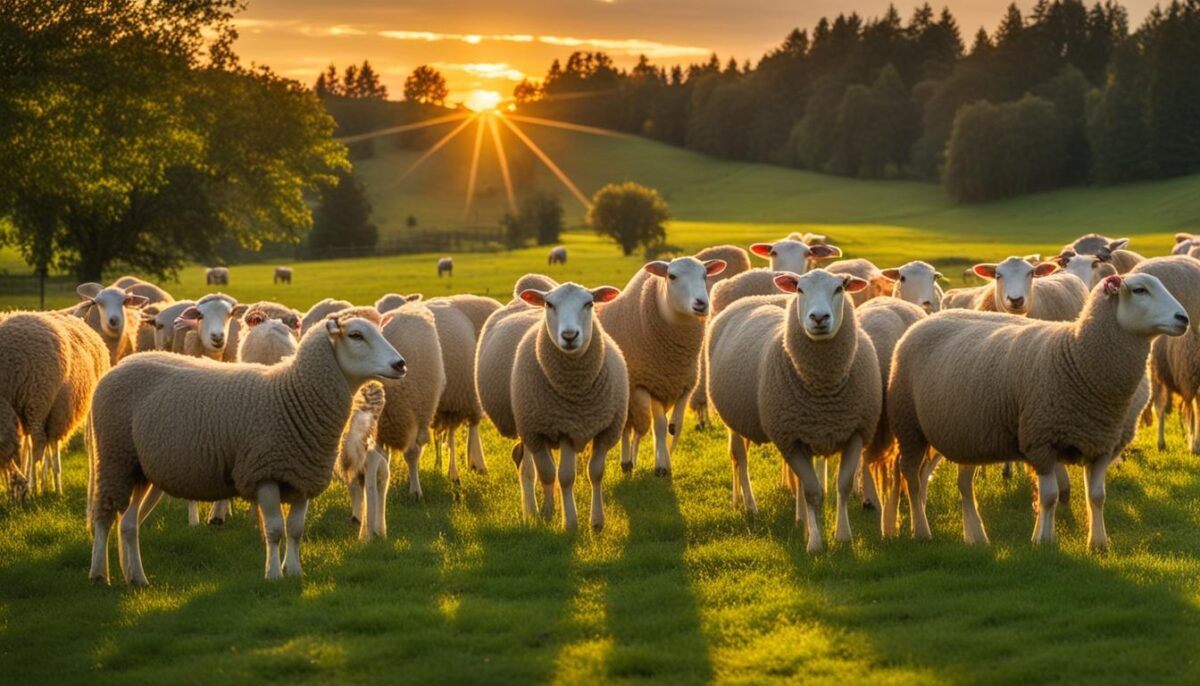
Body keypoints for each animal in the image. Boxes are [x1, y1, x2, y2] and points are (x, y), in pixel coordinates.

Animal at [510, 282, 628, 530]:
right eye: (549, 304)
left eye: (589, 303)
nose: (569, 335)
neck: (577, 395)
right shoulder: (563, 428)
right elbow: (563, 477)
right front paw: (569, 521)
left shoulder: (604, 430)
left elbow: (595, 473)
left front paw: (597, 522)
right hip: (533, 431)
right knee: (541, 471)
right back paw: (543, 512)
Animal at [598, 256, 726, 476]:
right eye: (672, 276)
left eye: (704, 275)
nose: (702, 304)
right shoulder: (652, 385)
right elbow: (659, 426)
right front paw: (661, 467)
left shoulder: (685, 384)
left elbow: (674, 426)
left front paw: (667, 459)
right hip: (627, 392)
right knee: (628, 427)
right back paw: (626, 462)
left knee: (638, 429)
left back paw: (634, 459)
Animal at [707, 269, 881, 552]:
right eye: (800, 290)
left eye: (839, 289)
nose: (819, 318)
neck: (824, 391)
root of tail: (756, 297)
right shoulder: (790, 439)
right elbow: (812, 492)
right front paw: (816, 543)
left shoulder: (855, 431)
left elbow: (841, 486)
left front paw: (842, 536)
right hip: (732, 418)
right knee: (738, 457)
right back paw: (747, 503)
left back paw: (799, 520)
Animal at [887, 273, 1188, 549]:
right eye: (1139, 290)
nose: (1183, 318)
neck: (1077, 358)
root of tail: (926, 320)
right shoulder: (1041, 441)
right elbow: (1049, 497)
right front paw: (1044, 541)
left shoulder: (1100, 445)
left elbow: (1097, 497)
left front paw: (1099, 543)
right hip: (909, 424)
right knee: (911, 475)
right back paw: (921, 530)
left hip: (960, 433)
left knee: (955, 482)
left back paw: (973, 536)